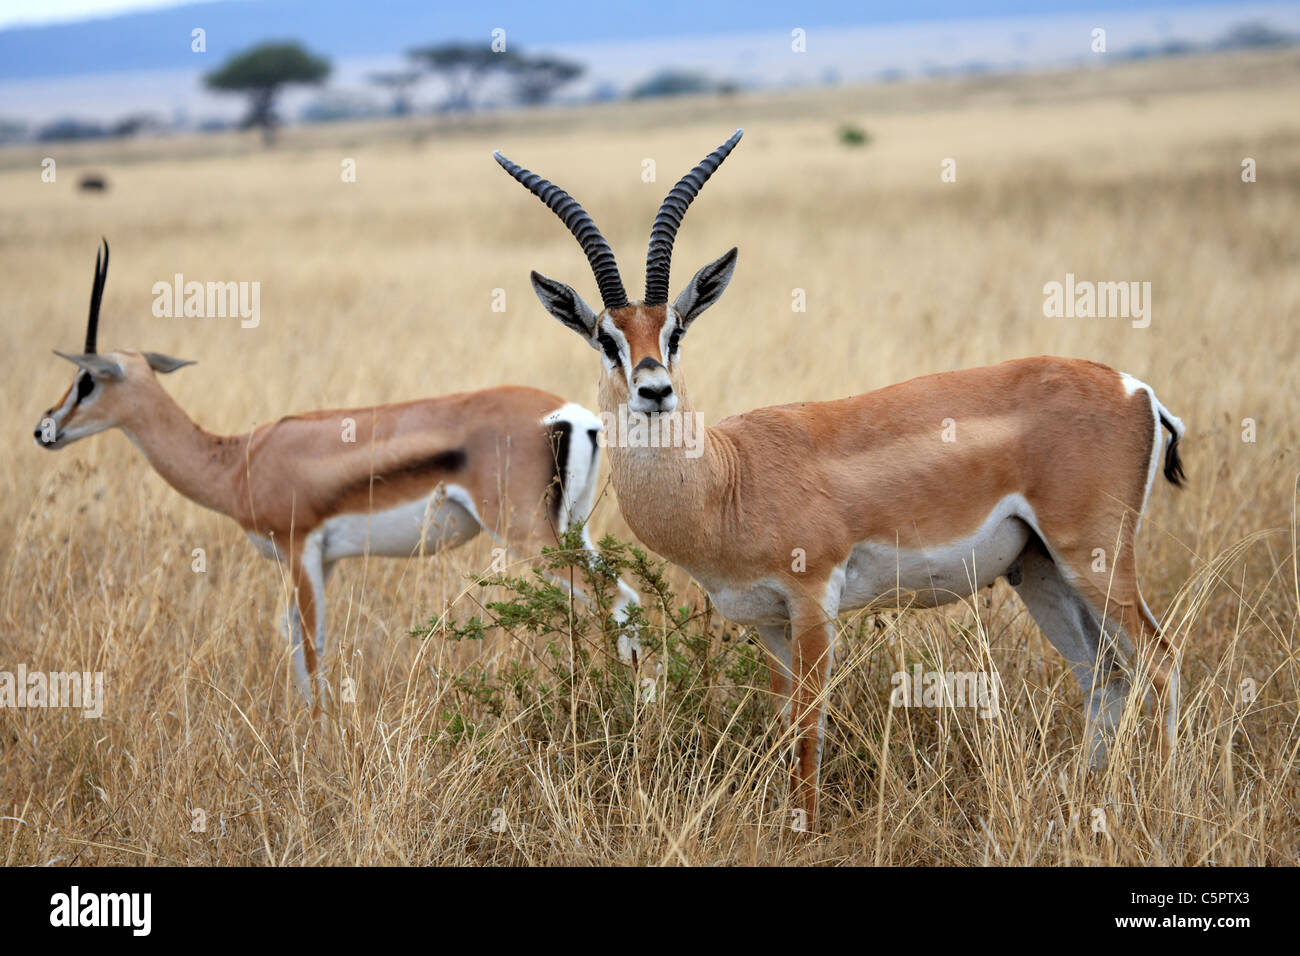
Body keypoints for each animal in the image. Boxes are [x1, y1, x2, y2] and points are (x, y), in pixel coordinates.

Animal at [34, 241, 639, 706]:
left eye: (87, 380)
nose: (44, 428)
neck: (238, 459)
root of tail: (571, 415)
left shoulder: (299, 547)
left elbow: (309, 641)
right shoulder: (323, 560)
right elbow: (297, 637)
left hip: (530, 537)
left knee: (617, 600)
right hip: (571, 529)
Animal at [495, 129, 1186, 826]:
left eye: (676, 330)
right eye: (606, 338)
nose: (655, 390)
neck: (727, 480)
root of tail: (1137, 391)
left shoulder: (813, 599)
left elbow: (808, 726)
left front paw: (805, 827)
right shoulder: (768, 620)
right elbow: (783, 724)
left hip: (1094, 557)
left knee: (1159, 663)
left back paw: (1160, 797)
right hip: (1040, 569)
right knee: (1102, 674)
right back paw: (1088, 794)